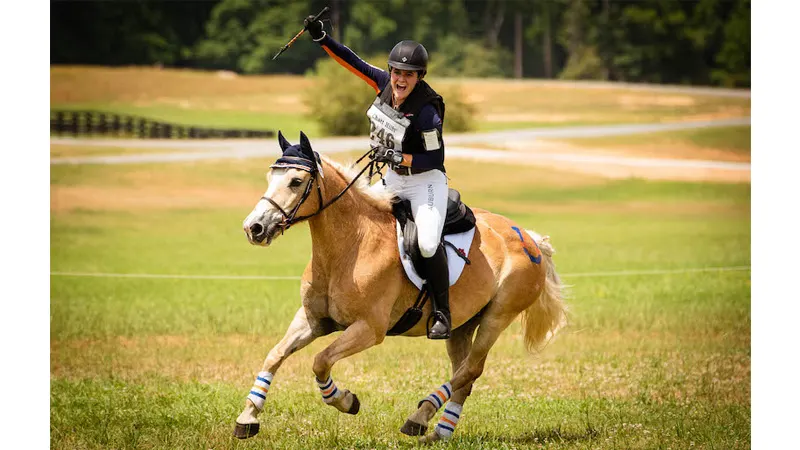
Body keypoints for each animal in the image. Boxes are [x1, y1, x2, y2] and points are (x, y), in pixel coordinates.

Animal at [235, 131, 567, 443]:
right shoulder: (313, 320)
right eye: (270, 178)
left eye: (295, 181)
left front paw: (345, 400)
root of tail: (529, 238)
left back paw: (419, 417)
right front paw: (248, 417)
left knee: (471, 368)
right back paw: (438, 433)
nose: (254, 228)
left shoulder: (369, 328)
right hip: (461, 325)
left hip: (497, 317)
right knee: (464, 375)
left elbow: (321, 361)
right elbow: (275, 354)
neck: (350, 245)